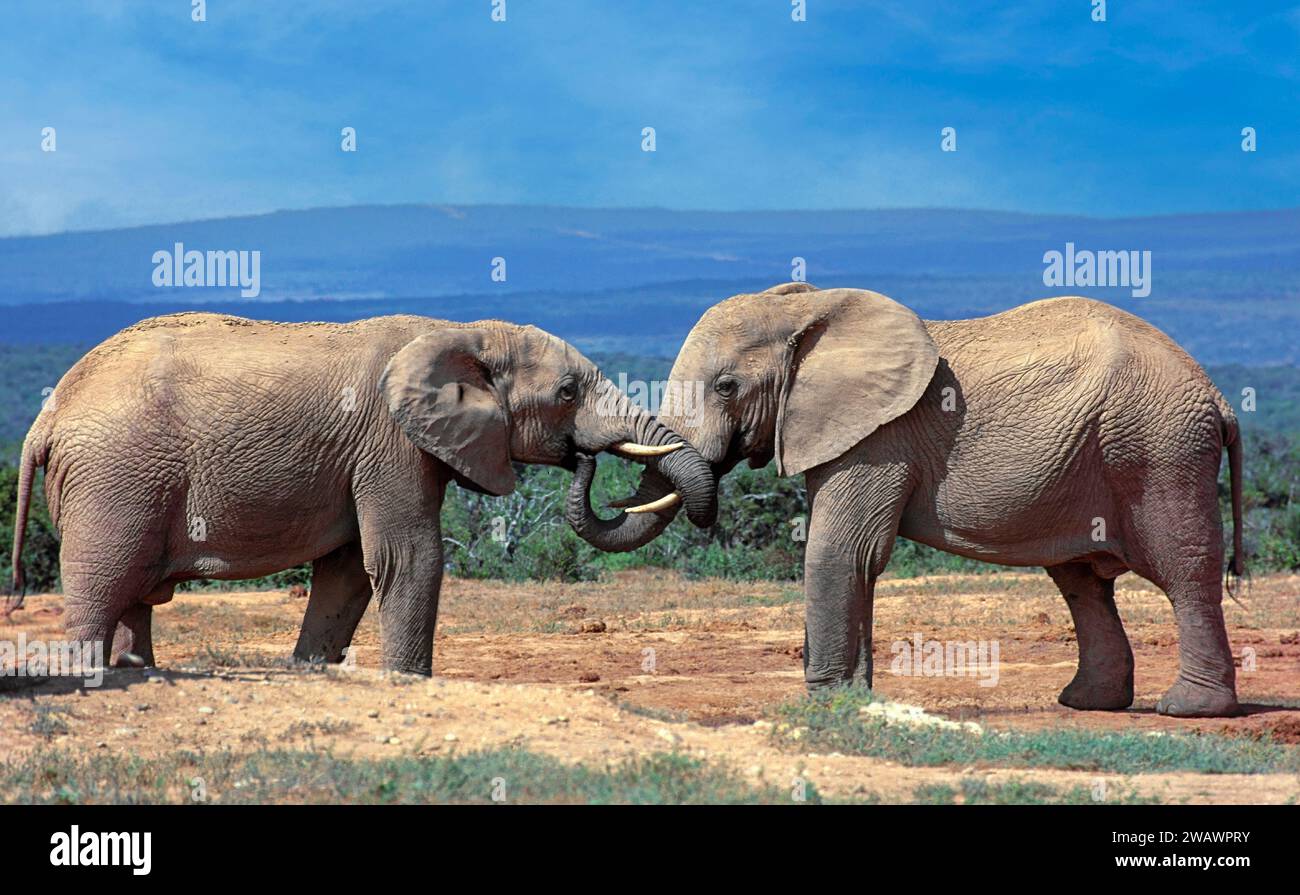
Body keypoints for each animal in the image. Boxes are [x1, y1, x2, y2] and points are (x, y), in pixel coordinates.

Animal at [8, 312, 715, 675]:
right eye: (568, 393)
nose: (582, 460)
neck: (461, 331)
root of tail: (46, 416)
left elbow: (347, 573)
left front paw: (311, 673)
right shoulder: (389, 441)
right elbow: (408, 559)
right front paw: (407, 681)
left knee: (133, 592)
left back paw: (141, 673)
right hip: (114, 478)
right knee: (104, 581)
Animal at [567, 283, 1245, 718]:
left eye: (728, 386)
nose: (580, 455)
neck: (809, 308)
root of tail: (1219, 398)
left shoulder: (879, 434)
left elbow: (843, 551)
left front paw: (826, 702)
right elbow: (856, 558)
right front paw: (854, 696)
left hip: (1159, 449)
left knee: (1184, 570)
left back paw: (1189, 710)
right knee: (1081, 583)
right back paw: (1088, 704)